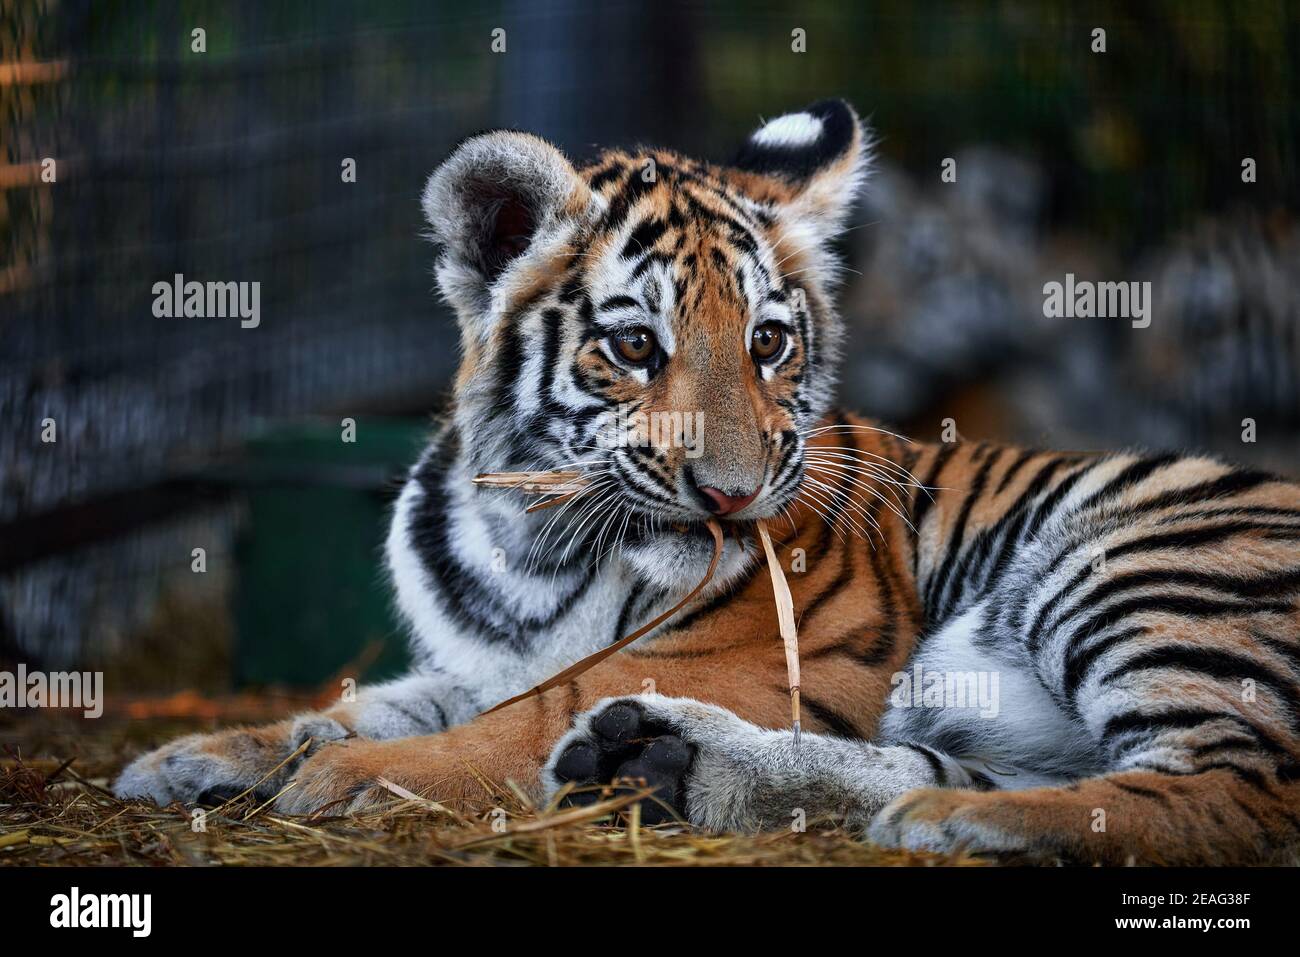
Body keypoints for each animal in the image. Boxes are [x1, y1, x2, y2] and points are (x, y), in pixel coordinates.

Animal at [114, 100, 1300, 865]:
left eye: (769, 342)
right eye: (636, 347)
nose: (731, 496)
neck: (530, 551)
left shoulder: (775, 662)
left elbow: (523, 716)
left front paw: (348, 780)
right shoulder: (474, 659)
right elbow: (361, 703)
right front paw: (193, 756)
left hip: (1135, 569)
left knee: (1241, 787)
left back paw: (957, 827)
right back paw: (676, 763)